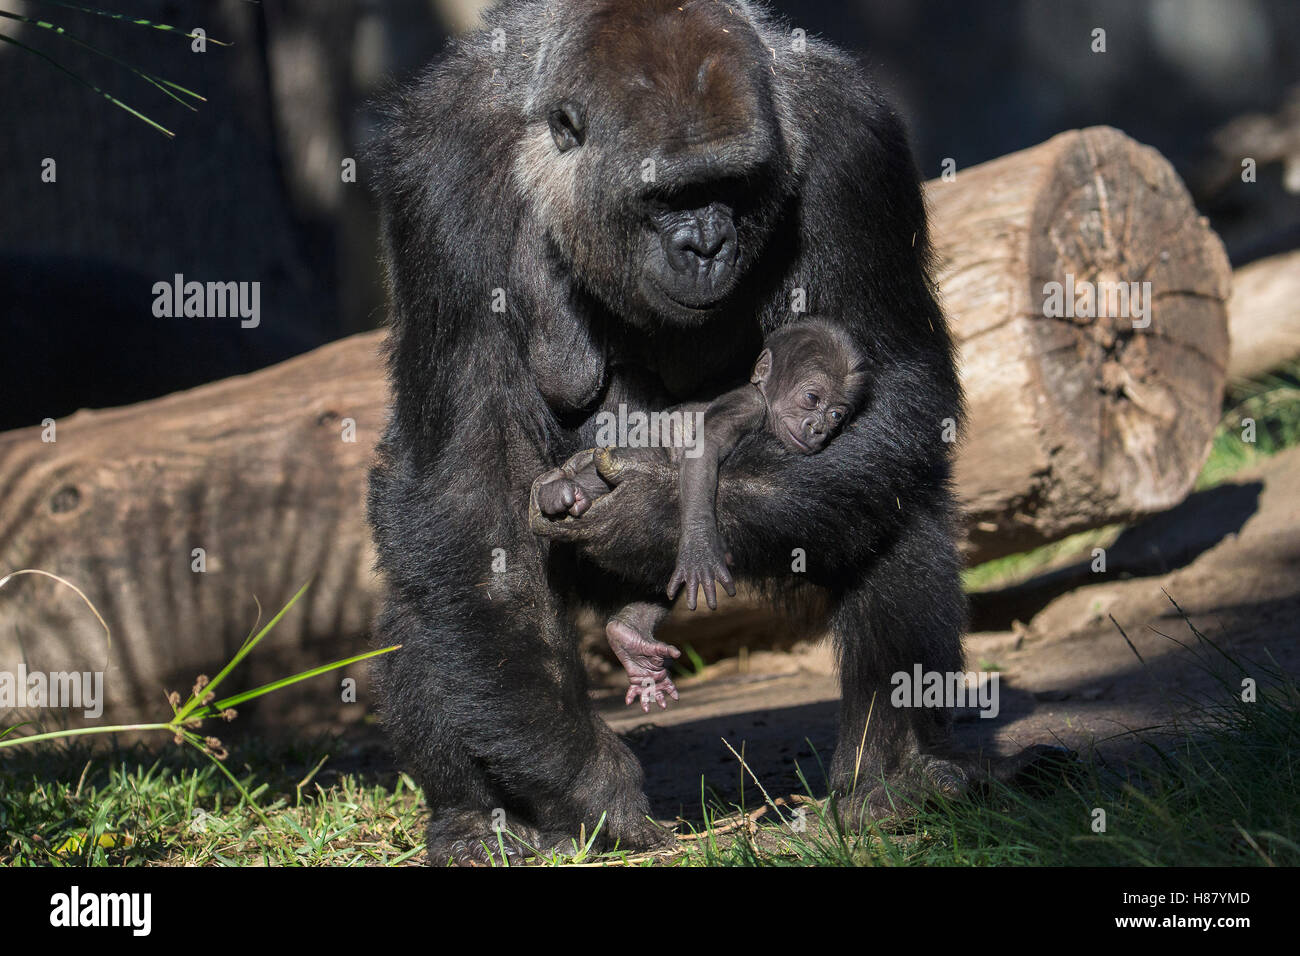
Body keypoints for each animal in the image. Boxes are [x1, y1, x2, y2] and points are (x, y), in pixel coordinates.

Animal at [535, 319, 868, 712]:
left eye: (837, 415)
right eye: (812, 398)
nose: (818, 429)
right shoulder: (746, 406)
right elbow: (702, 453)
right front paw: (699, 543)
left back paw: (630, 637)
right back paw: (563, 491)